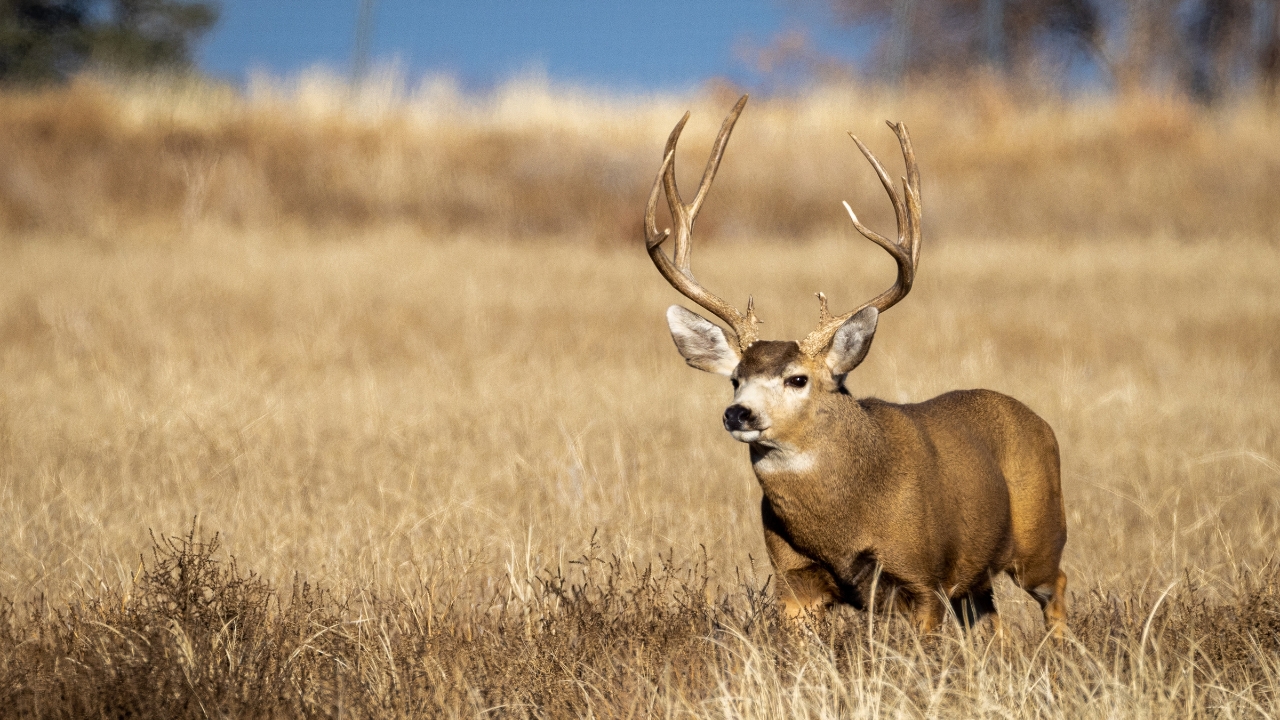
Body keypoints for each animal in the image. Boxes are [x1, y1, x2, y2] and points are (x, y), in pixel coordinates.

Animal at [644, 95, 1067, 635]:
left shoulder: (923, 576)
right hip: (979, 579)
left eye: (797, 378)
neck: (844, 523)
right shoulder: (794, 583)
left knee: (1057, 588)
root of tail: (1040, 421)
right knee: (995, 627)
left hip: (1041, 536)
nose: (738, 413)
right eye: (736, 379)